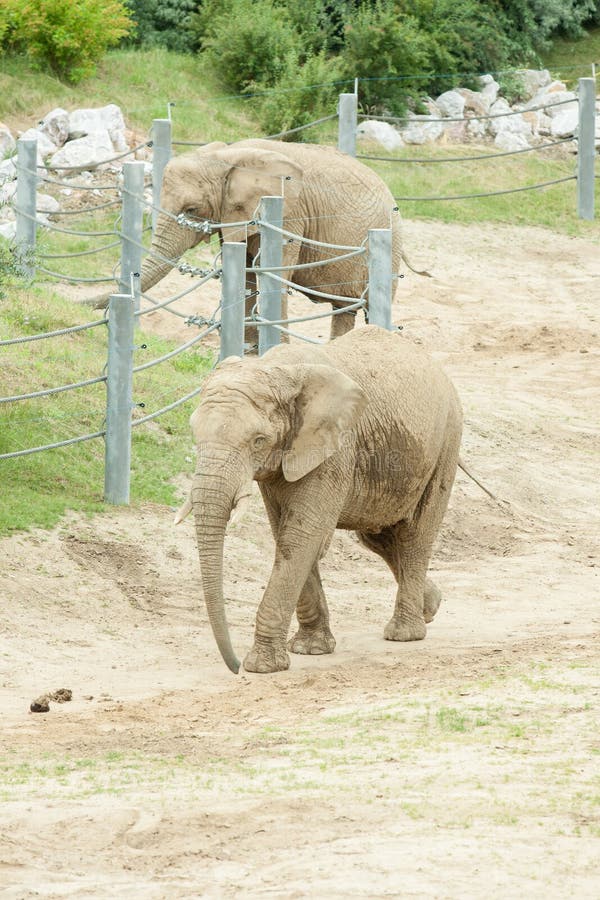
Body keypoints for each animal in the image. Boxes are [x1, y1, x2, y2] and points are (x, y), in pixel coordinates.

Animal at [96, 140, 402, 343]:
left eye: (192, 210)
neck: (229, 154)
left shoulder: (288, 212)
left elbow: (273, 275)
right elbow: (245, 274)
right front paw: (249, 348)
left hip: (390, 243)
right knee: (343, 309)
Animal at [176, 325, 462, 674]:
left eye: (258, 440)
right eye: (194, 433)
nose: (234, 666)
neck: (276, 370)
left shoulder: (336, 449)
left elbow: (300, 536)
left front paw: (262, 666)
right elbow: (287, 534)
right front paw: (311, 649)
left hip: (446, 440)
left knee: (414, 535)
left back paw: (404, 633)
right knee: (377, 537)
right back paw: (430, 606)